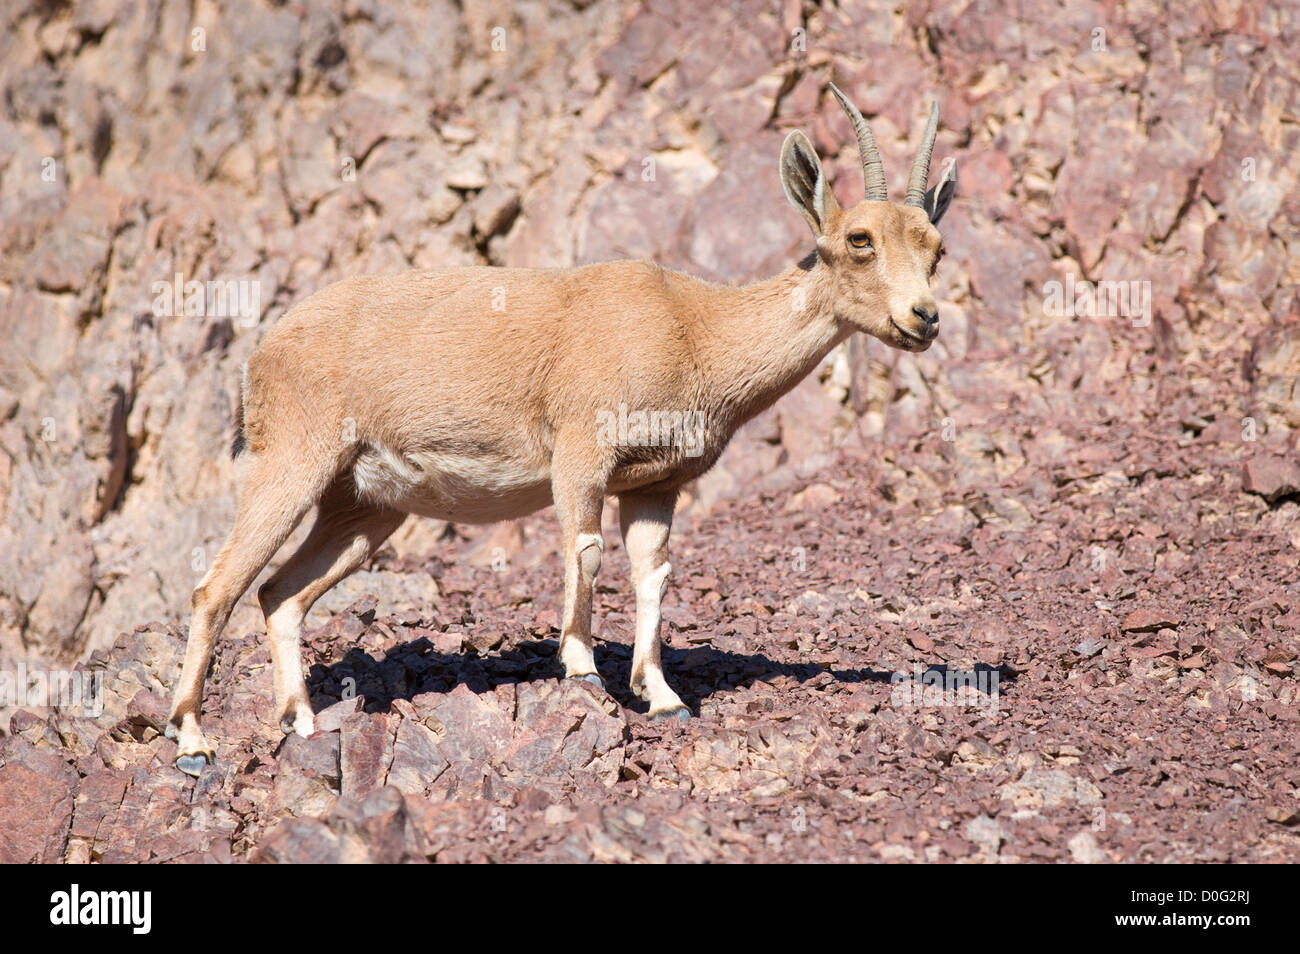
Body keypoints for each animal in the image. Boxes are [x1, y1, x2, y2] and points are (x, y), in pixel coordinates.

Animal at [166, 85, 956, 775]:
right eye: (860, 238)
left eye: (936, 248)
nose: (923, 318)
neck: (693, 330)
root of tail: (263, 351)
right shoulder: (581, 450)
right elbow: (586, 549)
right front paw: (580, 670)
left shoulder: (656, 484)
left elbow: (652, 573)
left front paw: (663, 697)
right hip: (293, 460)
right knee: (217, 587)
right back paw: (193, 741)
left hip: (363, 506)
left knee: (280, 594)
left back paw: (299, 721)